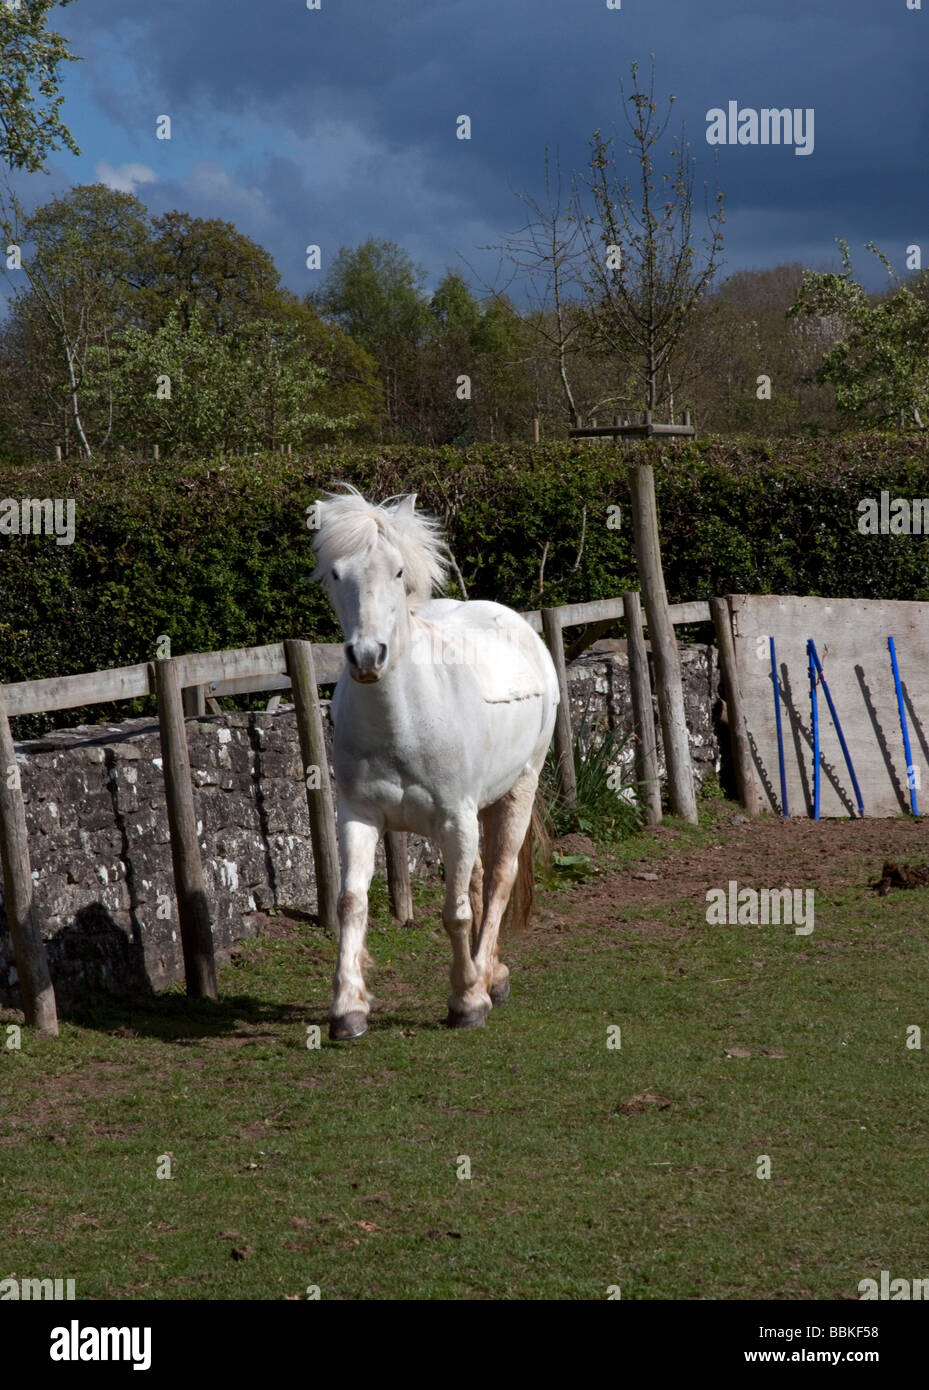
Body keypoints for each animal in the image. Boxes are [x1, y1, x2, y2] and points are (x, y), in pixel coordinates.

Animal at [311, 486, 559, 1039]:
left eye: (398, 571)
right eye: (336, 573)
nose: (367, 657)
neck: (403, 721)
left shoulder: (454, 818)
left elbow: (456, 913)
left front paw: (467, 1000)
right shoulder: (358, 816)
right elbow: (352, 903)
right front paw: (347, 1009)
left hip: (519, 788)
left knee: (499, 876)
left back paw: (488, 978)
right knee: (479, 878)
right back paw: (493, 973)